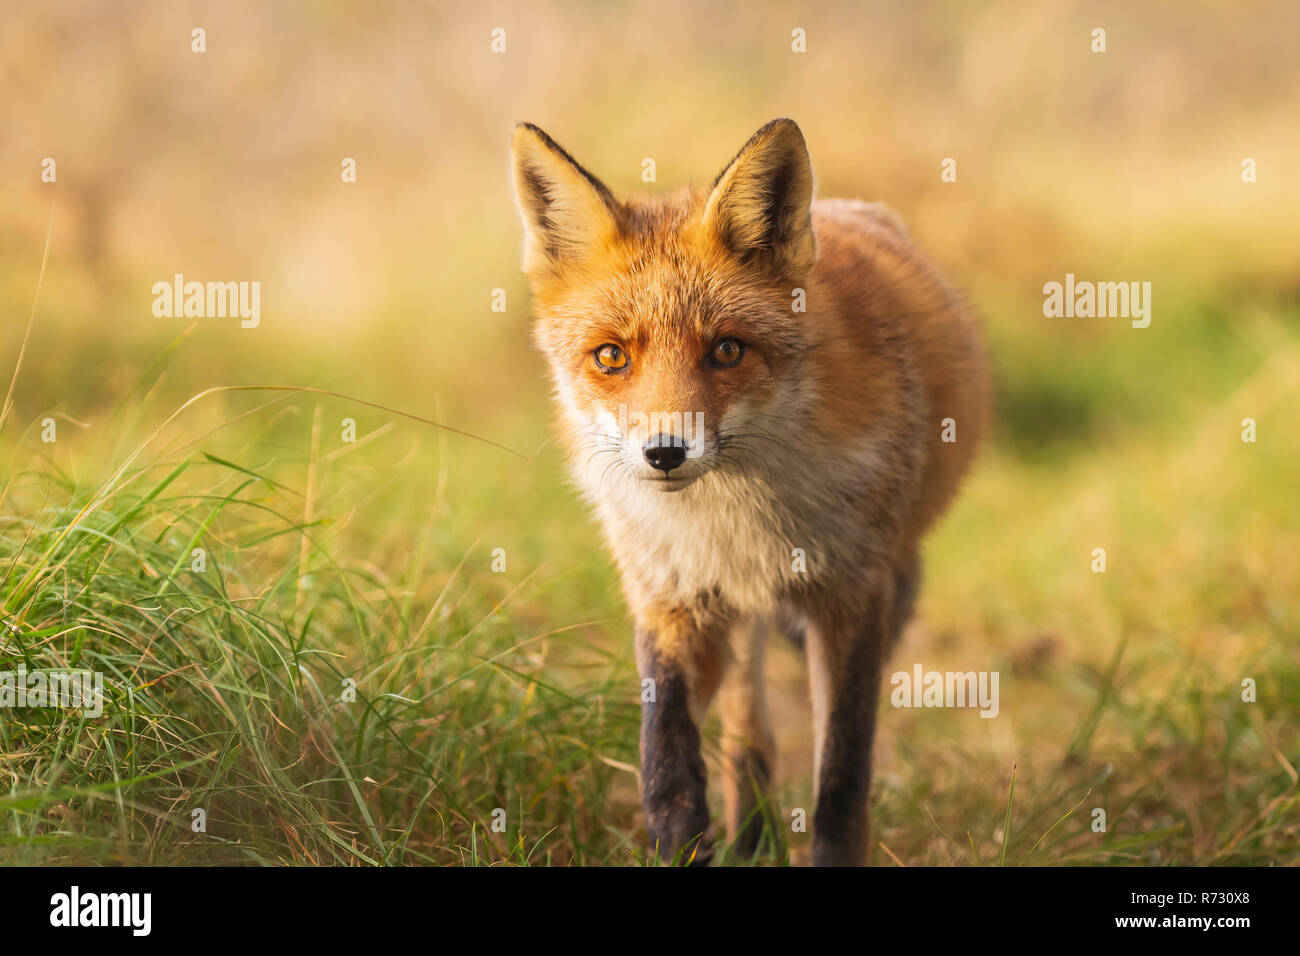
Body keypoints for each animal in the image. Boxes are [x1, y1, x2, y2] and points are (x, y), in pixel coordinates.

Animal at [510, 118, 990, 866]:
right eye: (611, 356)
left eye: (727, 351)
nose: (665, 452)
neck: (733, 514)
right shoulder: (671, 597)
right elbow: (667, 765)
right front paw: (682, 846)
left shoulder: (852, 595)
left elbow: (841, 775)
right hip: (736, 611)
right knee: (747, 730)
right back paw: (751, 835)